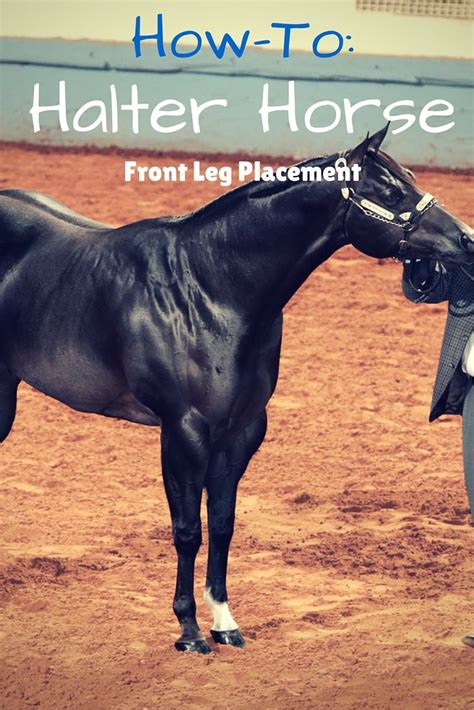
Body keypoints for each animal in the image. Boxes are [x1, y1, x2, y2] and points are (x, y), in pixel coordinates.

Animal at [1, 125, 473, 654]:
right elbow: (188, 529)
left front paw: (224, 622)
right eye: (390, 192)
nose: (466, 238)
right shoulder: (183, 431)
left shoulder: (242, 431)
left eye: (410, 176)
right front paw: (188, 632)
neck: (211, 290)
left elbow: (223, 523)